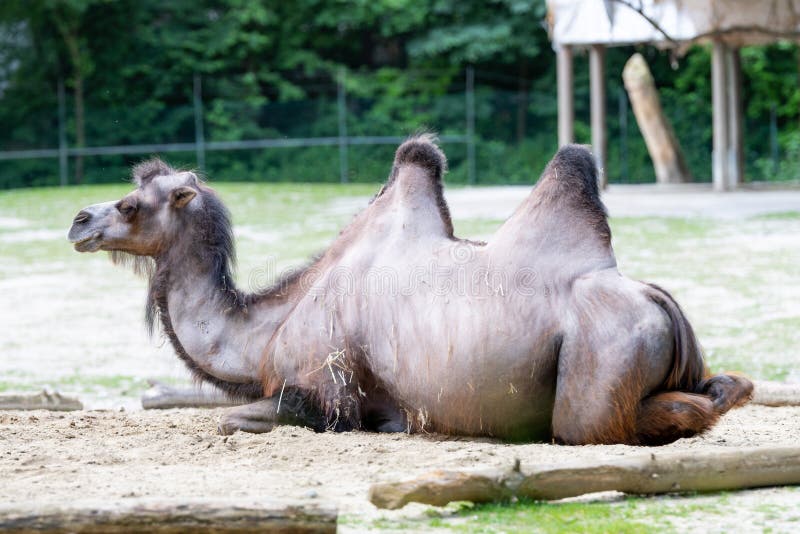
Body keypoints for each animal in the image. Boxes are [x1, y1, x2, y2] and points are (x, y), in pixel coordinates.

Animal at [68, 136, 753, 444]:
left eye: (131, 205)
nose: (78, 220)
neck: (267, 330)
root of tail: (662, 304)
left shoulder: (326, 396)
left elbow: (233, 418)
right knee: (720, 389)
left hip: (597, 369)